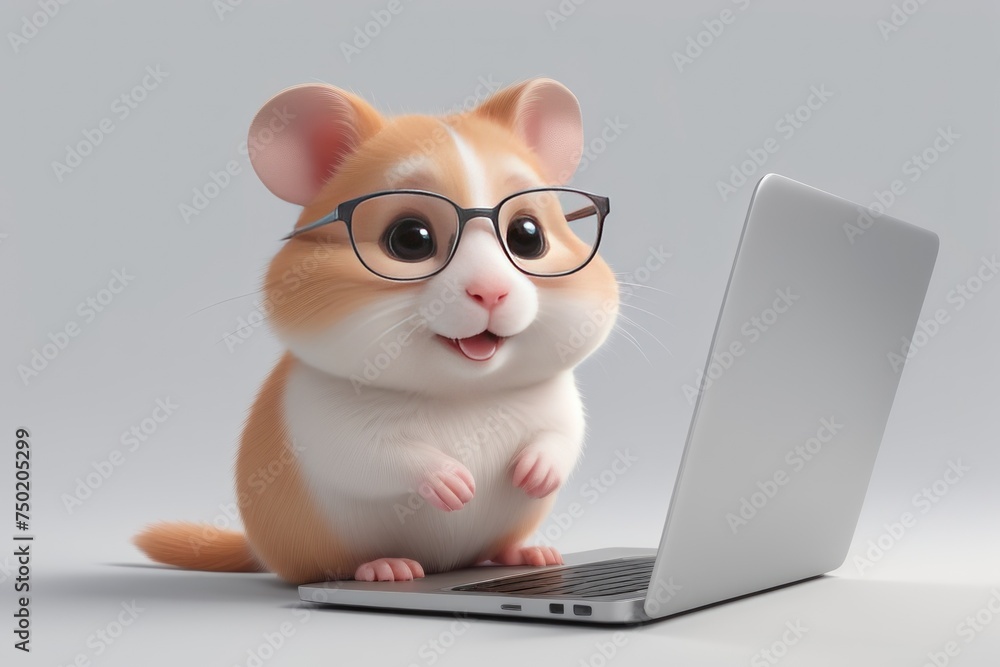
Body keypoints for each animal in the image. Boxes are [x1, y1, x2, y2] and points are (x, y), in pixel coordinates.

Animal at [134, 78, 619, 584]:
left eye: (527, 236)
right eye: (410, 239)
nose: (490, 292)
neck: (461, 392)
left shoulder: (561, 406)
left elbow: (561, 439)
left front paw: (534, 473)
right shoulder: (324, 423)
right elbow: (376, 457)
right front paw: (454, 483)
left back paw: (531, 555)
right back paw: (388, 567)